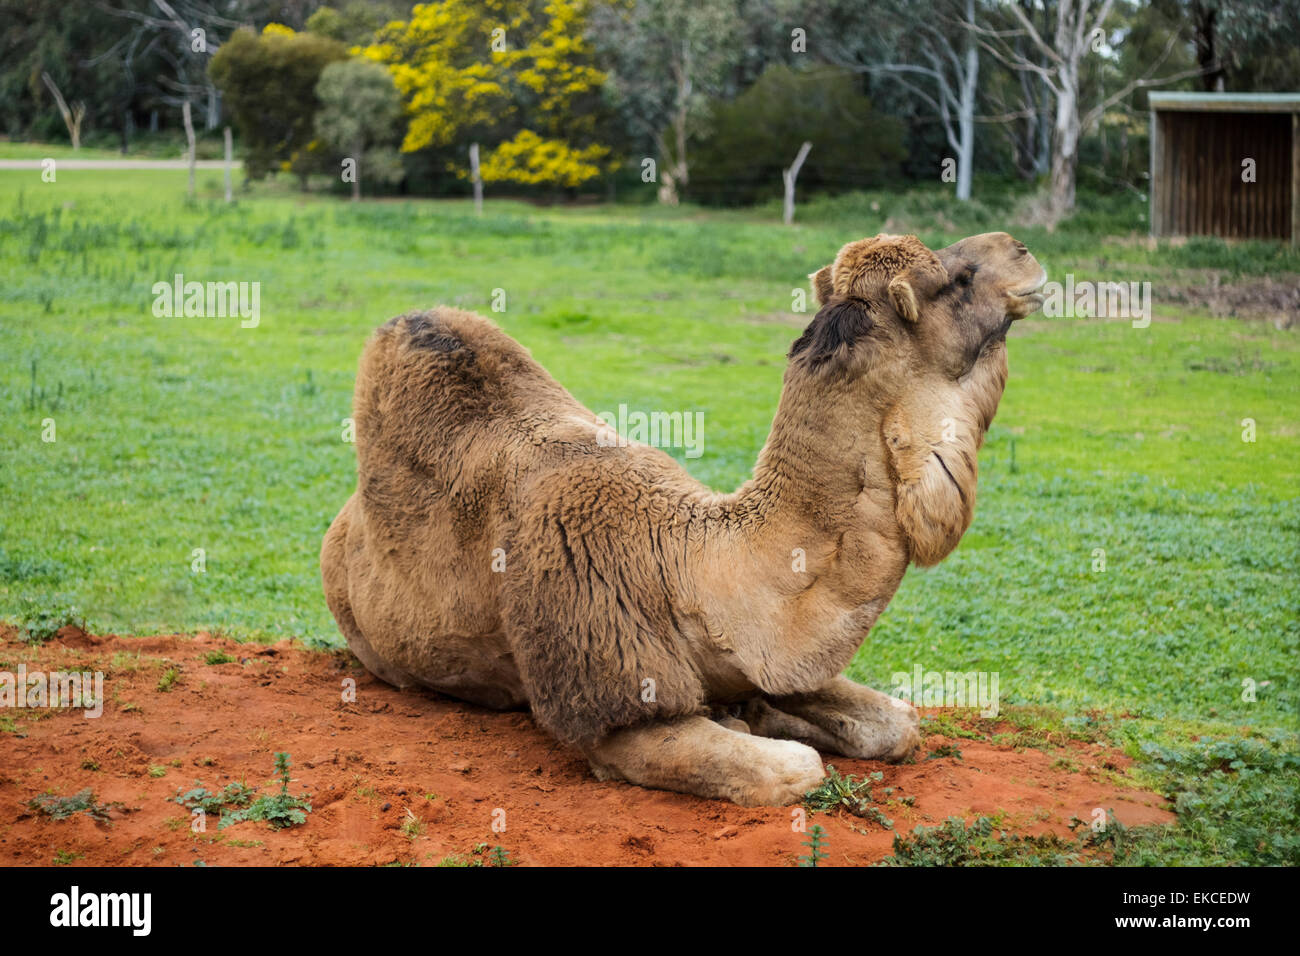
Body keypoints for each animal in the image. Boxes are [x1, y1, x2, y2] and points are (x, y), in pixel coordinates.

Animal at [321, 232, 1047, 806]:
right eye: (953, 280)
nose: (1022, 249)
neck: (689, 565)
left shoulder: (763, 657)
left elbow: (898, 723)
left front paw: (758, 710)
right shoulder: (613, 707)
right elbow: (797, 769)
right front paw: (756, 727)